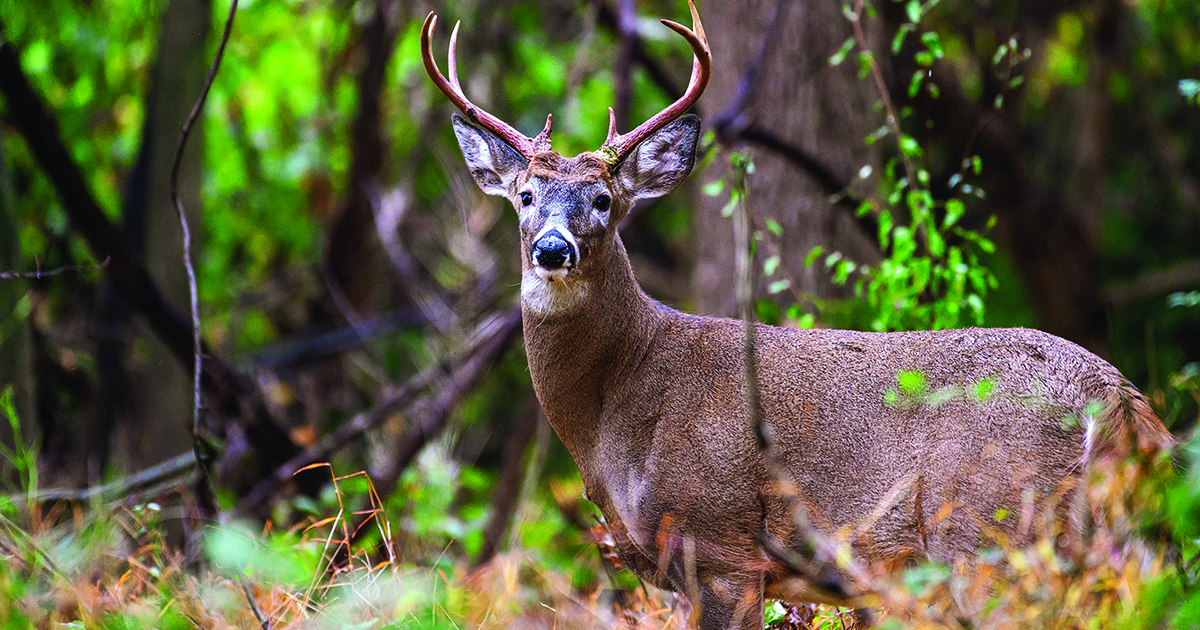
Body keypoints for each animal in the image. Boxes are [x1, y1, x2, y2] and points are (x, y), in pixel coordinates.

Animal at [420, 3, 1173, 628]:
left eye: (603, 199)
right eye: (524, 195)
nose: (553, 249)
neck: (621, 405)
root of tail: (1119, 400)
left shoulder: (721, 544)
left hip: (993, 529)